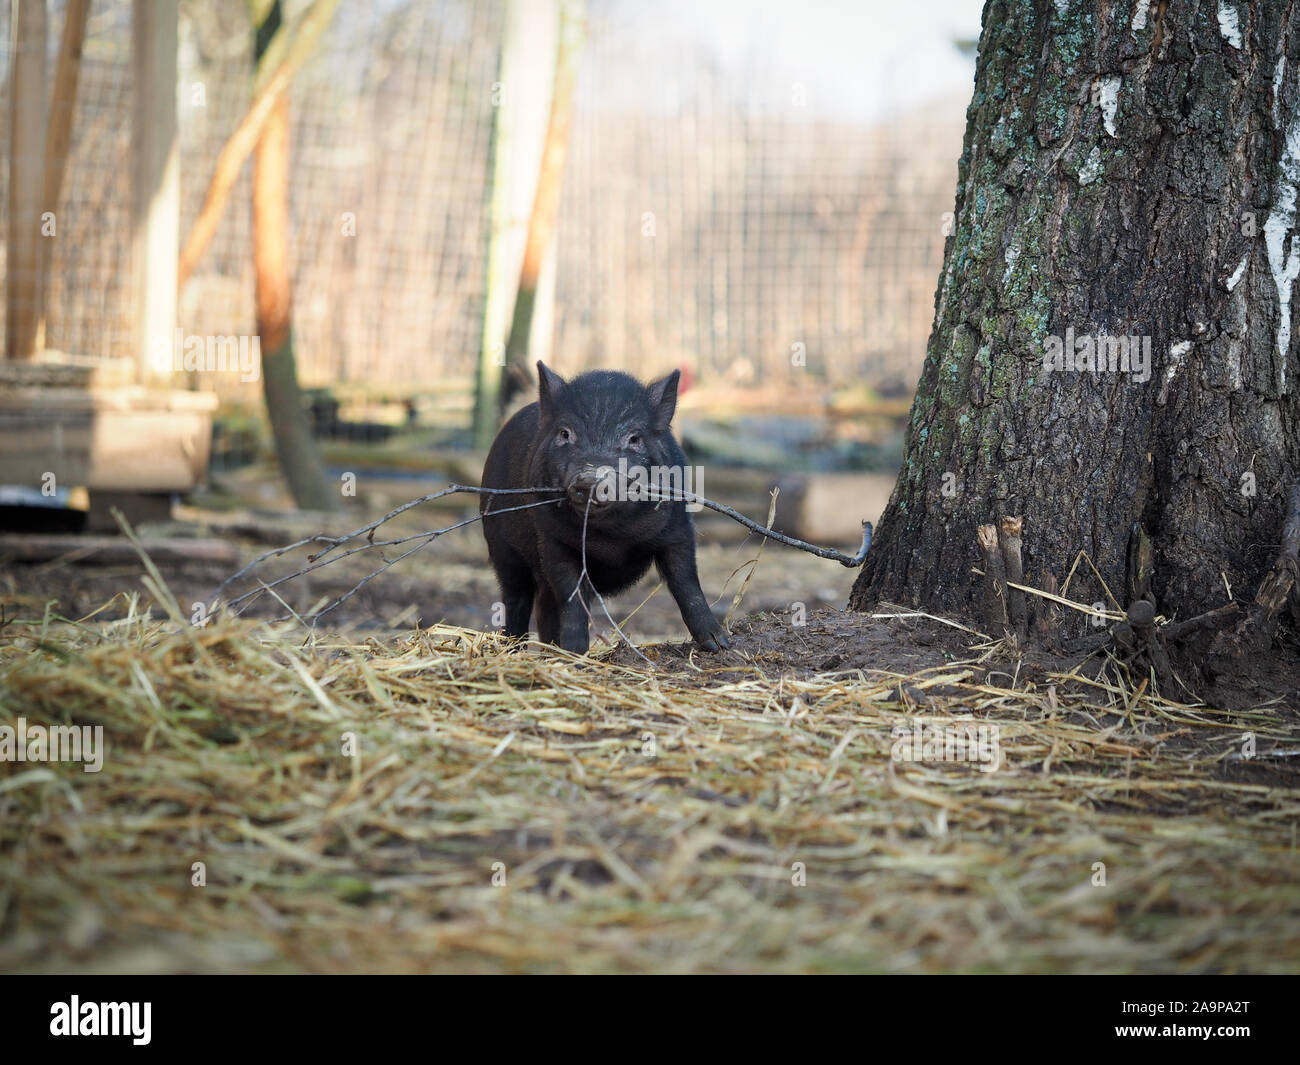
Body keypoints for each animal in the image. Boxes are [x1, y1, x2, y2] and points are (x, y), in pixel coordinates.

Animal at [480, 361, 728, 654]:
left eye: (634, 438)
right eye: (565, 433)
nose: (590, 478)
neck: (613, 540)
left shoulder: (678, 530)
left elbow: (686, 582)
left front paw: (718, 644)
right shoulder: (553, 542)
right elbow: (573, 601)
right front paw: (576, 654)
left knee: (544, 604)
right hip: (501, 546)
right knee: (516, 598)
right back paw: (515, 650)